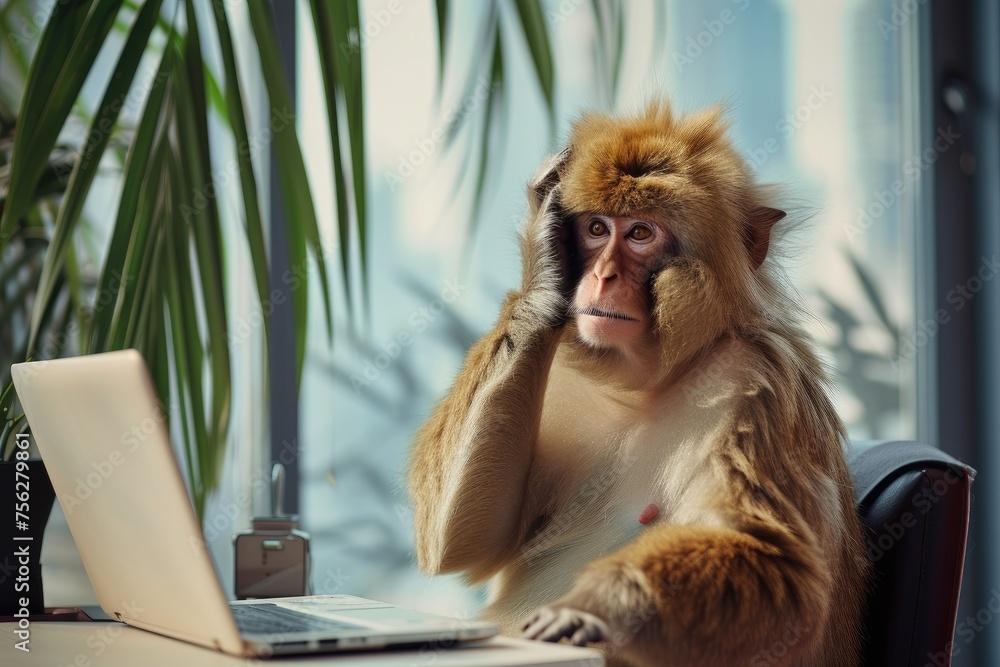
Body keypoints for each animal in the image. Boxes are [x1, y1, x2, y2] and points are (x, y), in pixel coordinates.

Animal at [408, 101, 867, 667]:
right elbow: (464, 543)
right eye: (597, 228)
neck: (654, 381)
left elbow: (778, 565)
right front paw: (544, 265)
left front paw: (596, 606)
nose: (602, 276)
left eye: (641, 234)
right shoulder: (563, 373)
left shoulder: (759, 383)